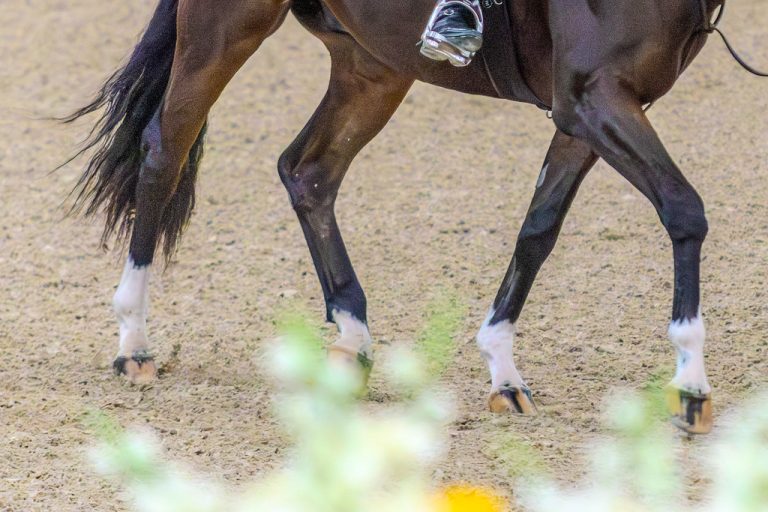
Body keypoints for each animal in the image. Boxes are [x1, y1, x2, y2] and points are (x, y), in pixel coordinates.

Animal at [64, 0, 750, 435]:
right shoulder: (592, 98)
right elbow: (683, 210)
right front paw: (691, 385)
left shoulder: (589, 111)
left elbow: (539, 229)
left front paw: (502, 369)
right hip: (225, 27)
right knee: (164, 152)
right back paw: (133, 342)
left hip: (373, 63)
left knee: (310, 172)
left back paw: (352, 338)